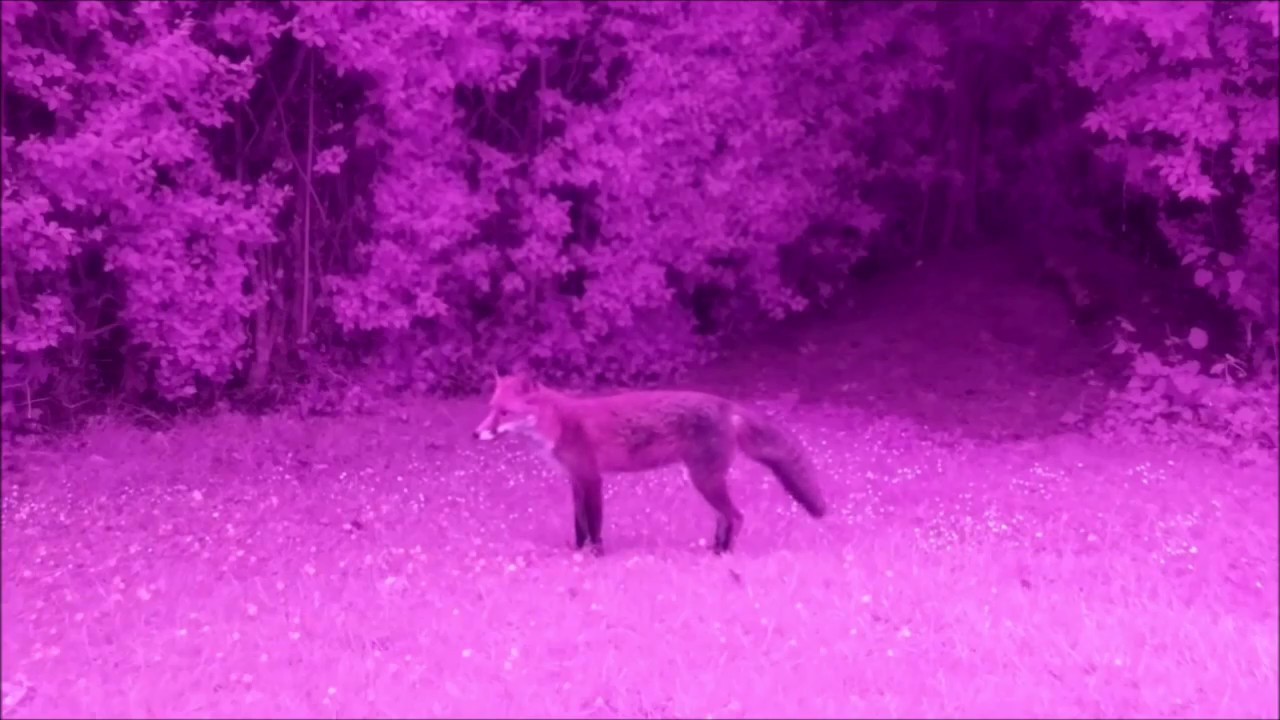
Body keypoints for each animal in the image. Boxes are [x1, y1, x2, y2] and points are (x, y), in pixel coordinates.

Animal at [473, 371, 827, 555]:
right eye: (490, 409)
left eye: (504, 413)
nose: (475, 433)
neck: (559, 424)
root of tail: (728, 404)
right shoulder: (574, 480)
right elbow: (579, 526)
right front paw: (577, 554)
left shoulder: (591, 478)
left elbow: (595, 525)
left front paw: (596, 556)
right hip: (705, 480)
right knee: (724, 517)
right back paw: (714, 548)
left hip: (704, 480)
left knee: (736, 516)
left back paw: (723, 553)